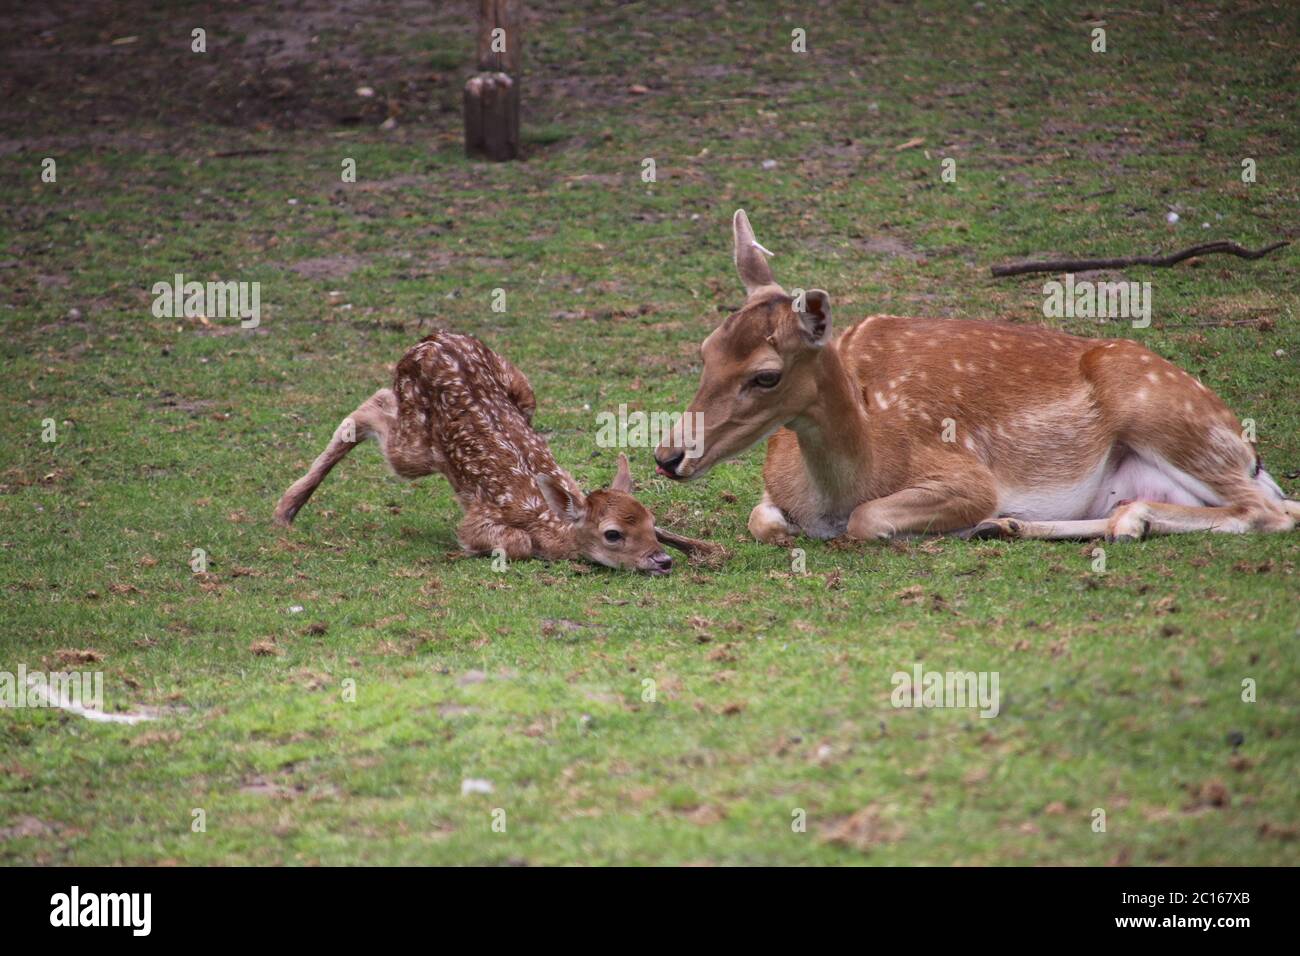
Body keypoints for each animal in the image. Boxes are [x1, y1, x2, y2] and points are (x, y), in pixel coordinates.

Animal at [276, 330, 712, 573]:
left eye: (648, 520)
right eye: (613, 534)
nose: (661, 561)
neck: (547, 520)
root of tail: (429, 340)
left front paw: (702, 548)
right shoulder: (482, 517)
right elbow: (513, 544)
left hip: (523, 390)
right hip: (414, 447)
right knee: (371, 408)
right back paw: (286, 508)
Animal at [653, 210, 1299, 544]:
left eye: (766, 376)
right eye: (707, 349)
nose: (668, 455)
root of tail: (1252, 454)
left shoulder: (963, 473)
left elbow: (868, 518)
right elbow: (762, 520)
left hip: (1165, 412)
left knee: (1272, 511)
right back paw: (1013, 526)